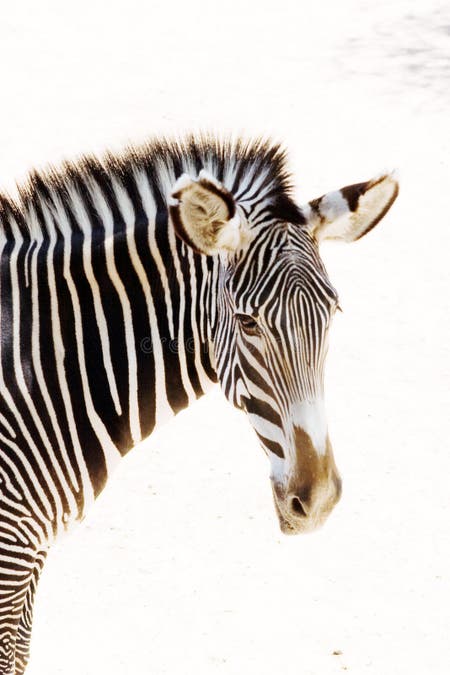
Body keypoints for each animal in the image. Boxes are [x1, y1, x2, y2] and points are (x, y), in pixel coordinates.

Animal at [0, 136, 398, 673]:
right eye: (248, 323)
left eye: (332, 315)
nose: (317, 503)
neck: (42, 368)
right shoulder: (12, 555)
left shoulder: (30, 553)